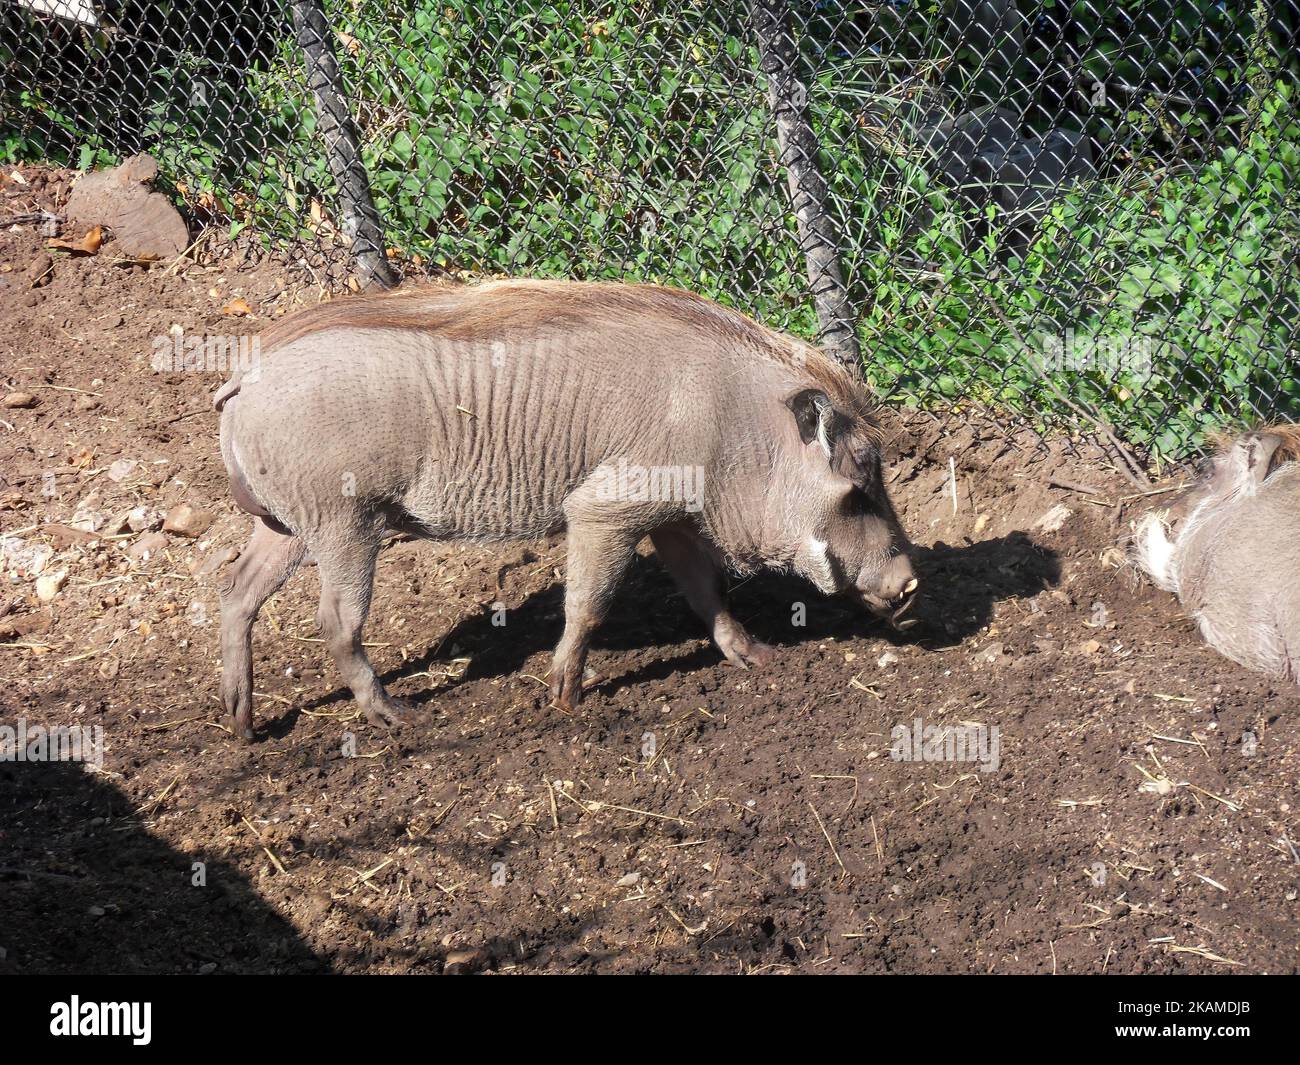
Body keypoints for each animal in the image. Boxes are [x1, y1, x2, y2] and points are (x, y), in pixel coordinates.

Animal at [214, 280, 917, 740]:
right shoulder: (604, 512)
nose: (912, 585)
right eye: (858, 479)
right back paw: (391, 715)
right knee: (336, 620)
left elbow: (705, 592)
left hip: (282, 525)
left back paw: (241, 722)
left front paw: (754, 657)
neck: (738, 421)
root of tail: (243, 377)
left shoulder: (672, 520)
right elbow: (589, 605)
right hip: (344, 523)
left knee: (236, 592)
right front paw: (565, 698)